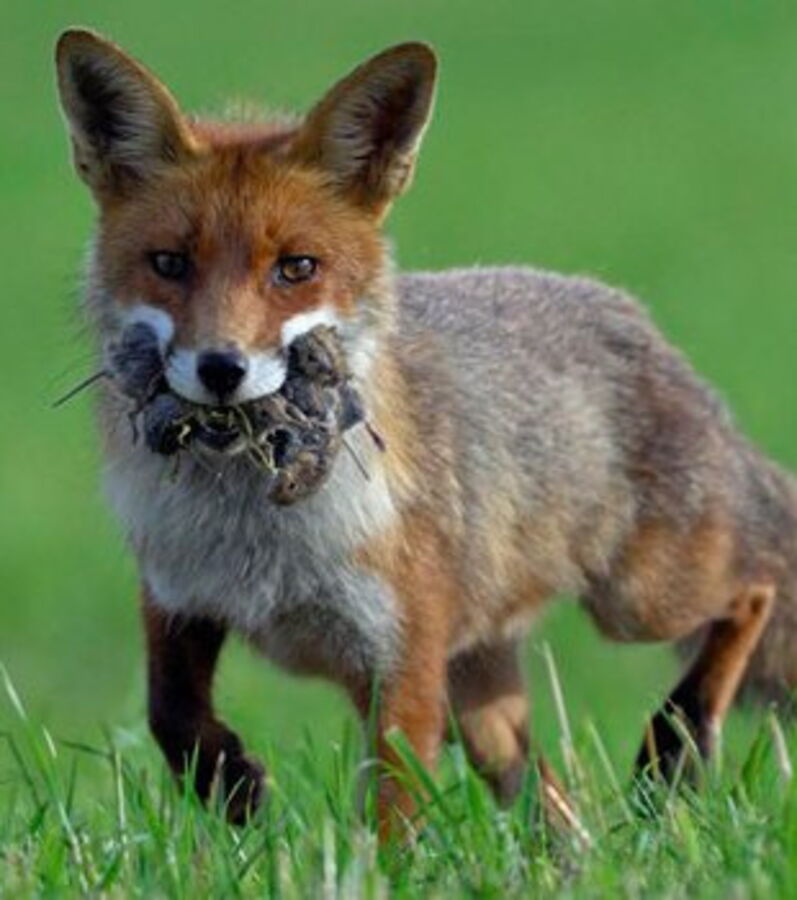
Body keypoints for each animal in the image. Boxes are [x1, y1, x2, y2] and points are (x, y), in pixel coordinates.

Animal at [55, 28, 797, 837]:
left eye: (296, 268)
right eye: (169, 263)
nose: (221, 368)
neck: (258, 539)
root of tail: (636, 319)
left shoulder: (399, 662)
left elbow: (391, 817)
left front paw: (359, 856)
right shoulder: (177, 598)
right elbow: (171, 714)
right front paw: (234, 787)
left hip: (638, 599)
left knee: (751, 593)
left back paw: (677, 740)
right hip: (483, 700)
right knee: (553, 802)